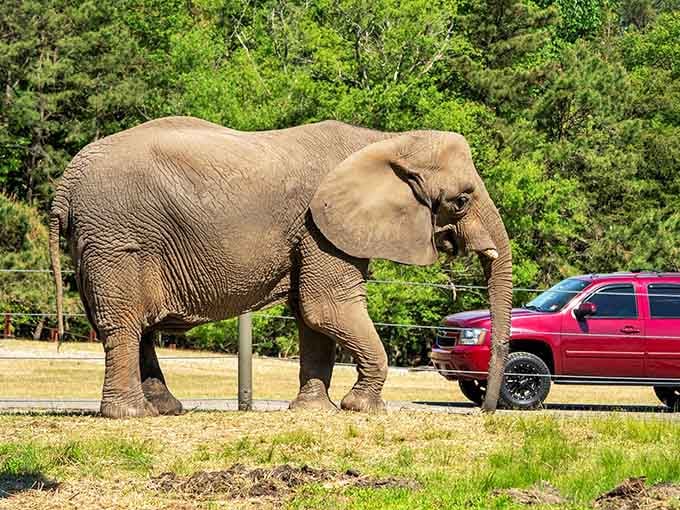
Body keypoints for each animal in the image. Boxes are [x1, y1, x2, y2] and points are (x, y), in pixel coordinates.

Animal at [48, 116, 512, 418]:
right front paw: (361, 408)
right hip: (117, 240)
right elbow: (328, 307)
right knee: (124, 324)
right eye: (462, 200)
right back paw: (131, 415)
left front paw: (314, 412)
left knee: (135, 326)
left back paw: (165, 409)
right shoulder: (319, 226)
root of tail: (66, 180)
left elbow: (312, 318)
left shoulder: (314, 232)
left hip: (100, 242)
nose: (487, 411)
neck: (383, 142)